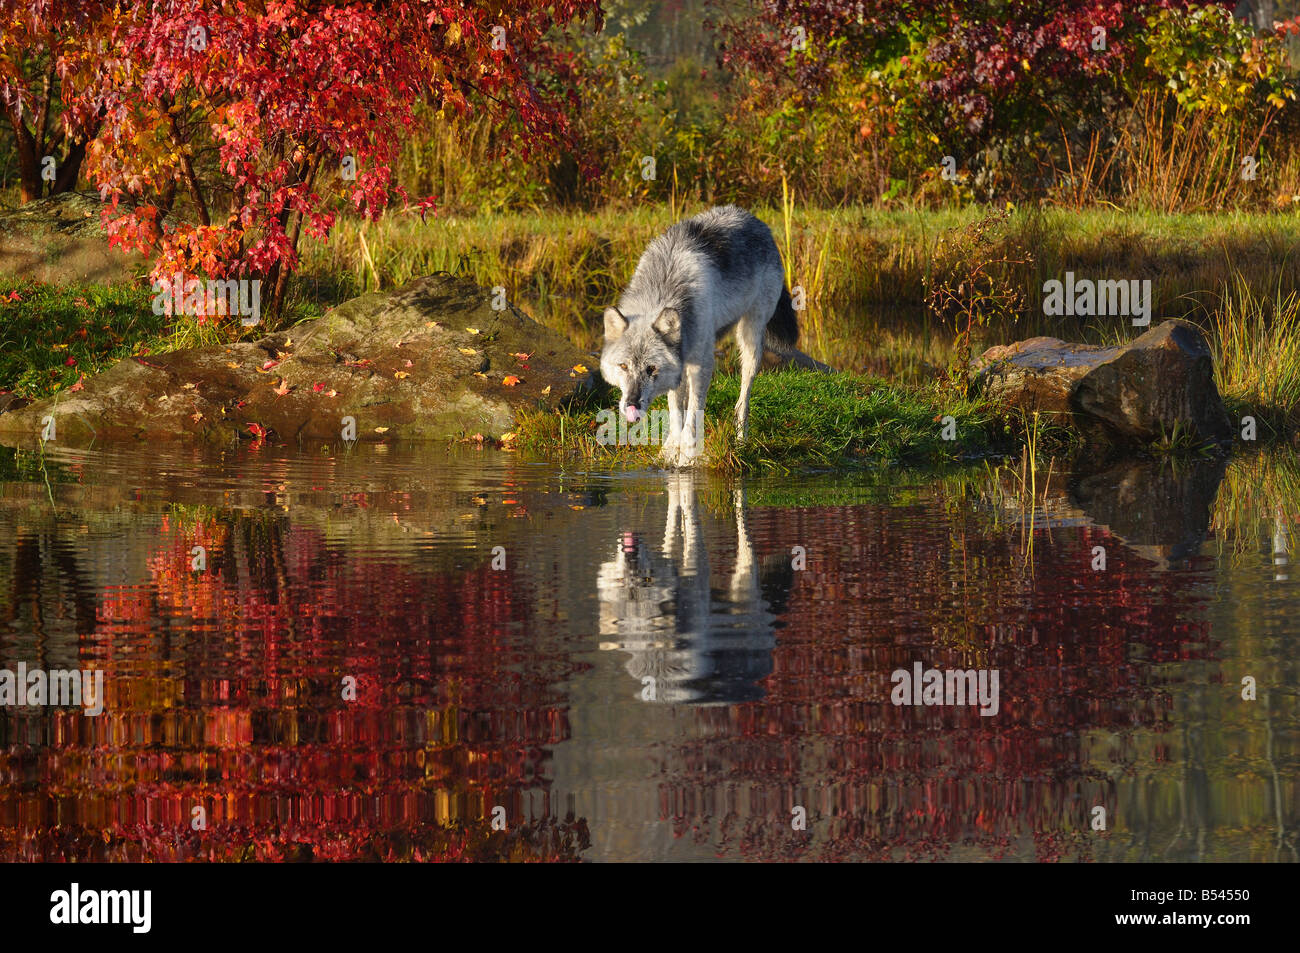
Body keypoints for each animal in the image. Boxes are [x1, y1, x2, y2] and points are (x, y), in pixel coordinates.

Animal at [600, 205, 831, 467]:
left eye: (651, 369)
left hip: (750, 340)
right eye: (623, 366)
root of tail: (753, 219)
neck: (665, 285)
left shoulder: (701, 364)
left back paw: (741, 440)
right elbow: (676, 414)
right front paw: (671, 454)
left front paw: (688, 458)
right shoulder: (682, 365)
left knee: (742, 401)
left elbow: (693, 416)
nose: (632, 404)